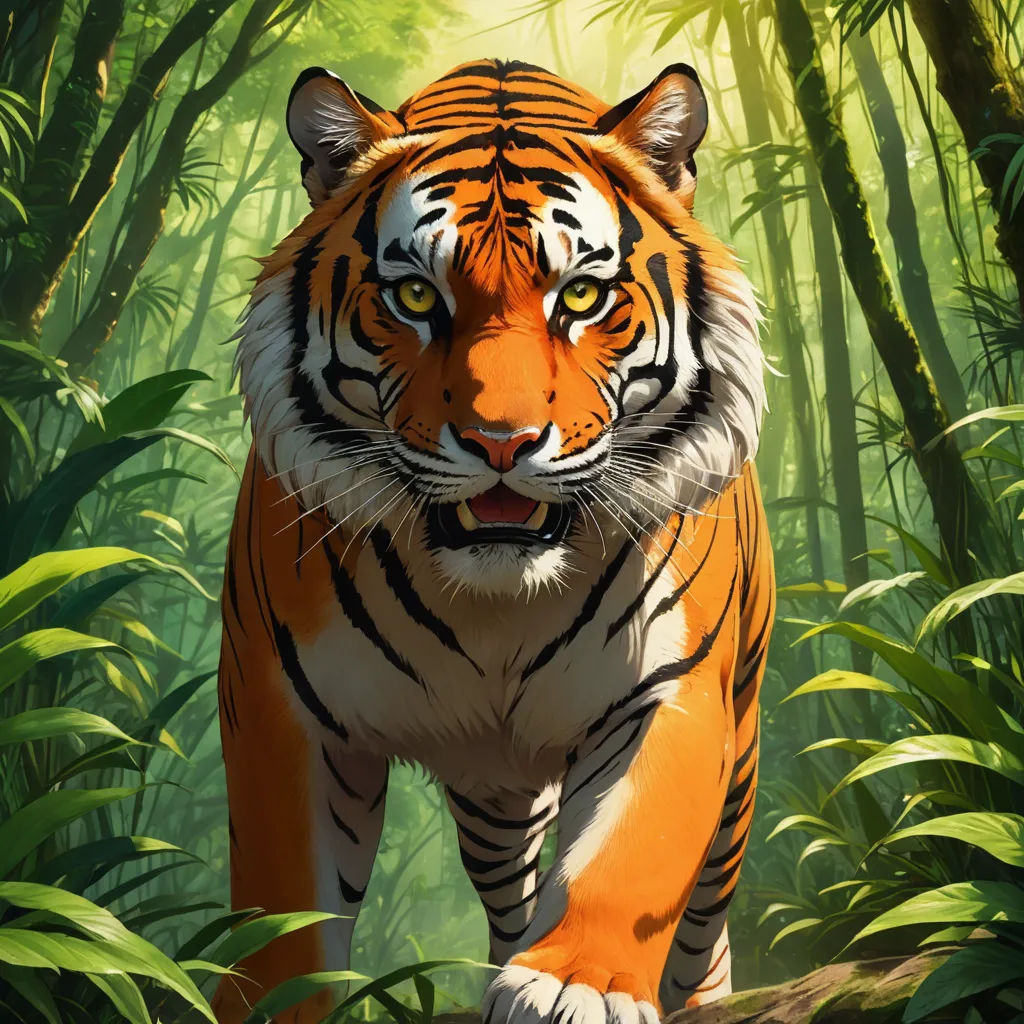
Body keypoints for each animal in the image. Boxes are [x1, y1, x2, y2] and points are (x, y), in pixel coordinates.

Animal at [214, 58, 774, 1024]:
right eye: (415, 297)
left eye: (581, 295)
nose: (502, 442)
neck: (499, 602)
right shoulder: (282, 705)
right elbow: (286, 908)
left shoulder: (672, 686)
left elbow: (631, 852)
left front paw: (573, 985)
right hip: (492, 798)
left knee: (702, 927)